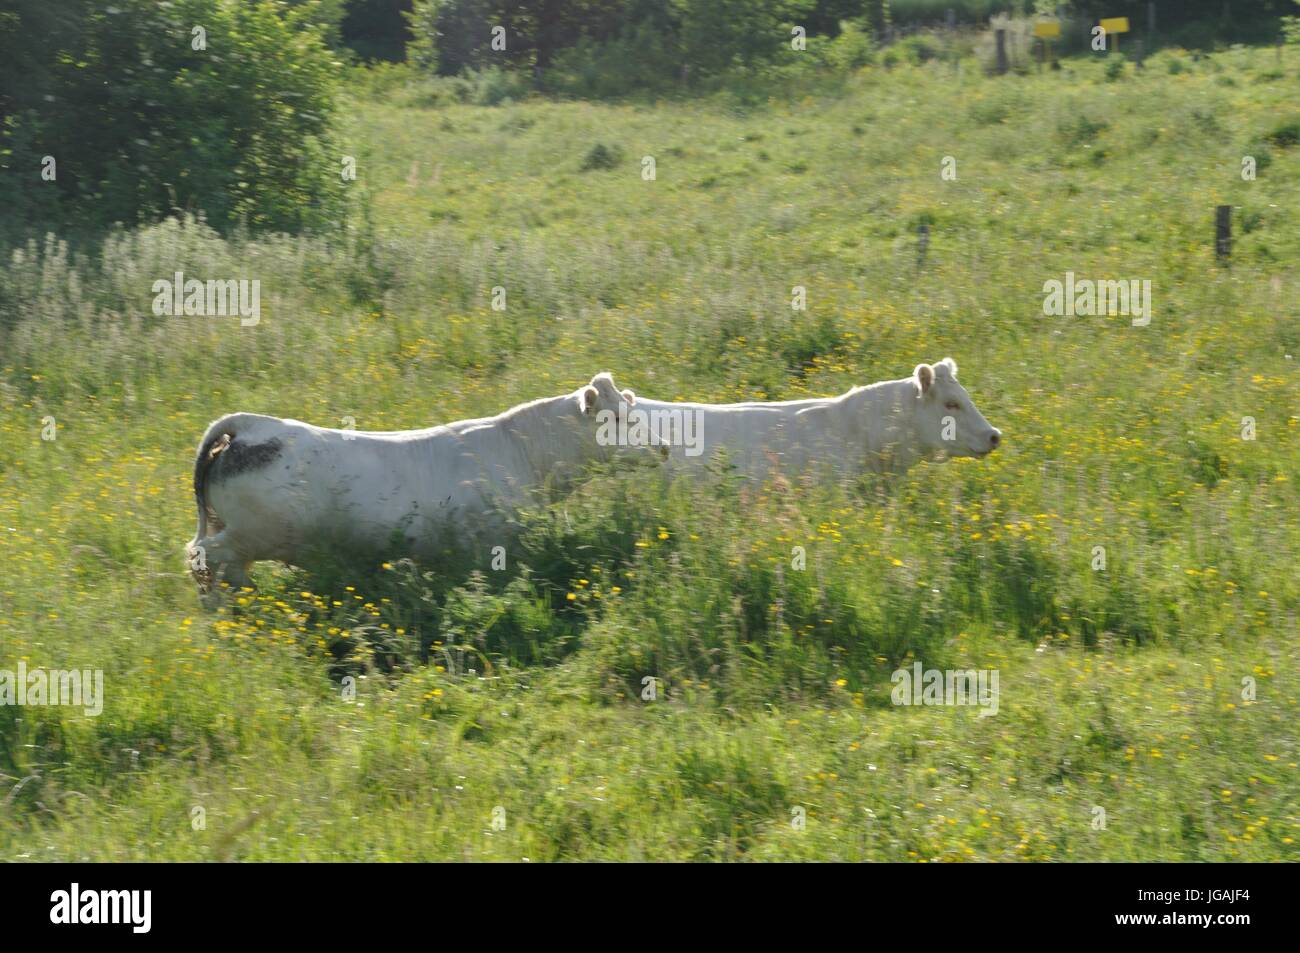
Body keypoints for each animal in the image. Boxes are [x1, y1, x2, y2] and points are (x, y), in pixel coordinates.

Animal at [186, 373, 641, 607]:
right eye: (615, 418)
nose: (657, 441)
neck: (520, 450)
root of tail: (251, 425)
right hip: (251, 534)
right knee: (204, 557)